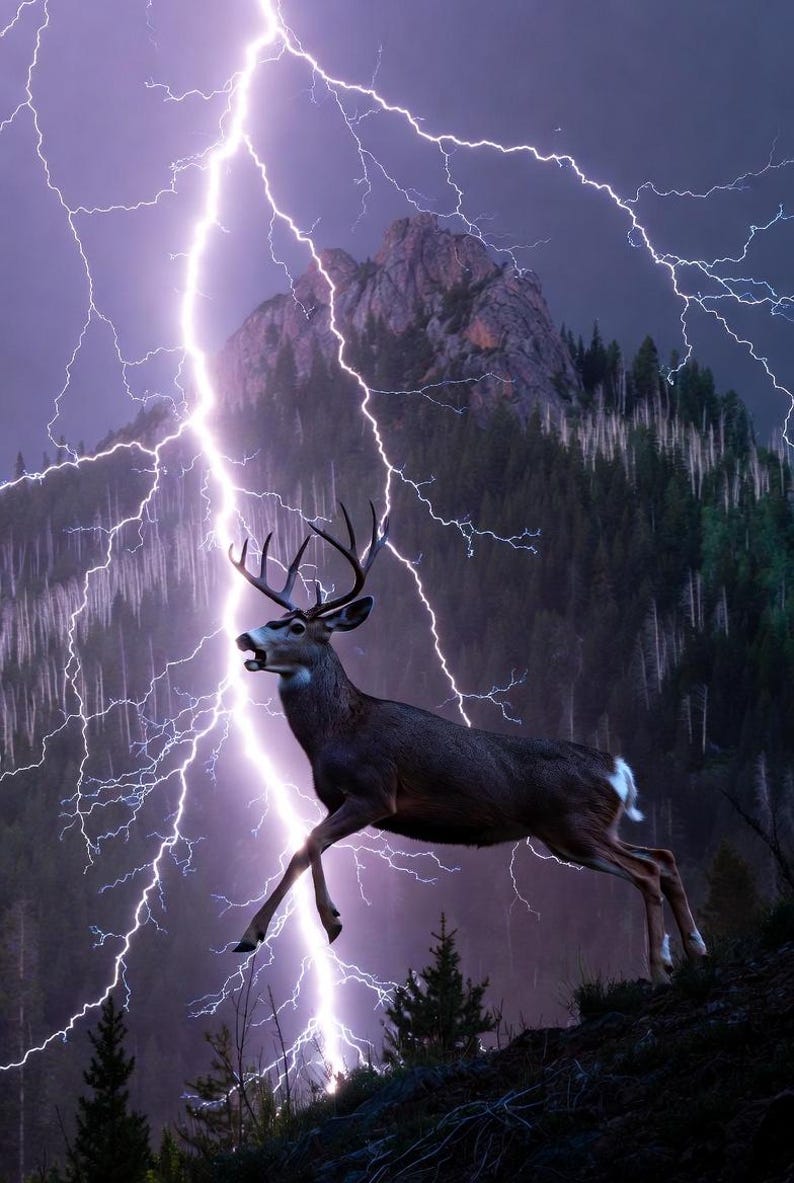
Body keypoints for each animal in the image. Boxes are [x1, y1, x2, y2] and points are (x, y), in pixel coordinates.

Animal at [229, 504, 707, 984]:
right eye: (272, 620)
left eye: (295, 626)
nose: (244, 638)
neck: (338, 730)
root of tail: (619, 770)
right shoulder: (336, 802)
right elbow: (304, 847)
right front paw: (272, 932)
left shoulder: (375, 792)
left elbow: (307, 841)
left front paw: (313, 924)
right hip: (584, 830)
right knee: (663, 856)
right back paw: (694, 949)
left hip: (573, 826)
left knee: (646, 871)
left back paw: (660, 969)